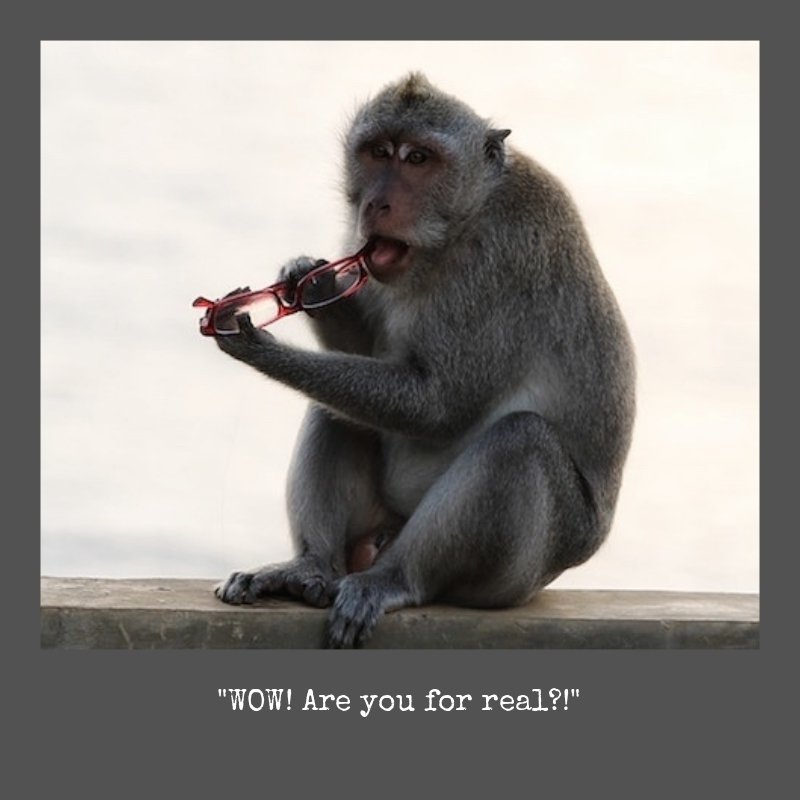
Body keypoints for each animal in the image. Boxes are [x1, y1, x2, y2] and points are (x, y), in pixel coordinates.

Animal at [212, 72, 636, 648]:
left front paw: (260, 348)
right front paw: (313, 282)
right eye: (377, 153)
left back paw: (395, 579)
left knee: (520, 442)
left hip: (517, 572)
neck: (460, 224)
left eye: (417, 158)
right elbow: (369, 360)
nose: (376, 204)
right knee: (337, 403)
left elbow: (439, 405)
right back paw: (312, 566)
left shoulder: (500, 261)